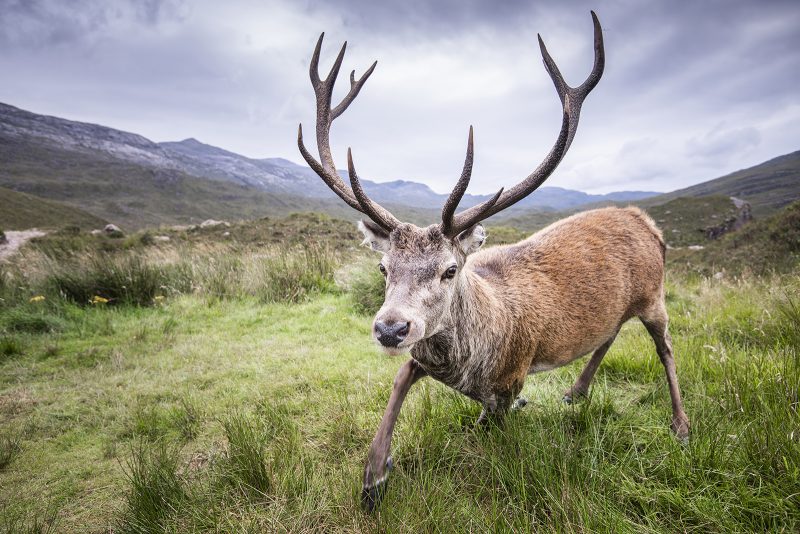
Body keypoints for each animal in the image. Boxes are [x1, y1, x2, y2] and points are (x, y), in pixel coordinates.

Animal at [297, 12, 689, 512]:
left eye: (450, 269)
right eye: (383, 268)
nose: (390, 329)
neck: (464, 363)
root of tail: (647, 221)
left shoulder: (509, 379)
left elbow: (487, 425)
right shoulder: (424, 357)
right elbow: (400, 379)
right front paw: (372, 477)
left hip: (655, 294)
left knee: (664, 347)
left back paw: (681, 425)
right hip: (620, 306)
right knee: (610, 331)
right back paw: (576, 391)